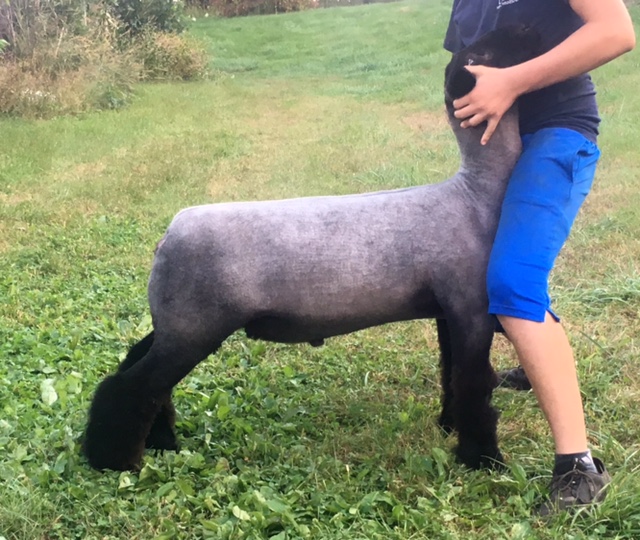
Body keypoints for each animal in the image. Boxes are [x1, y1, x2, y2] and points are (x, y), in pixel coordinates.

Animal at [83, 25, 541, 472]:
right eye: (486, 51)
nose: (534, 31)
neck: (477, 196)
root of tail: (168, 234)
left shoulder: (448, 311)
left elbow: (451, 373)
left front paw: (449, 428)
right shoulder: (471, 308)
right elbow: (474, 385)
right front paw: (484, 459)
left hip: (176, 321)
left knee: (139, 365)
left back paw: (160, 443)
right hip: (195, 325)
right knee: (132, 387)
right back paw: (115, 460)